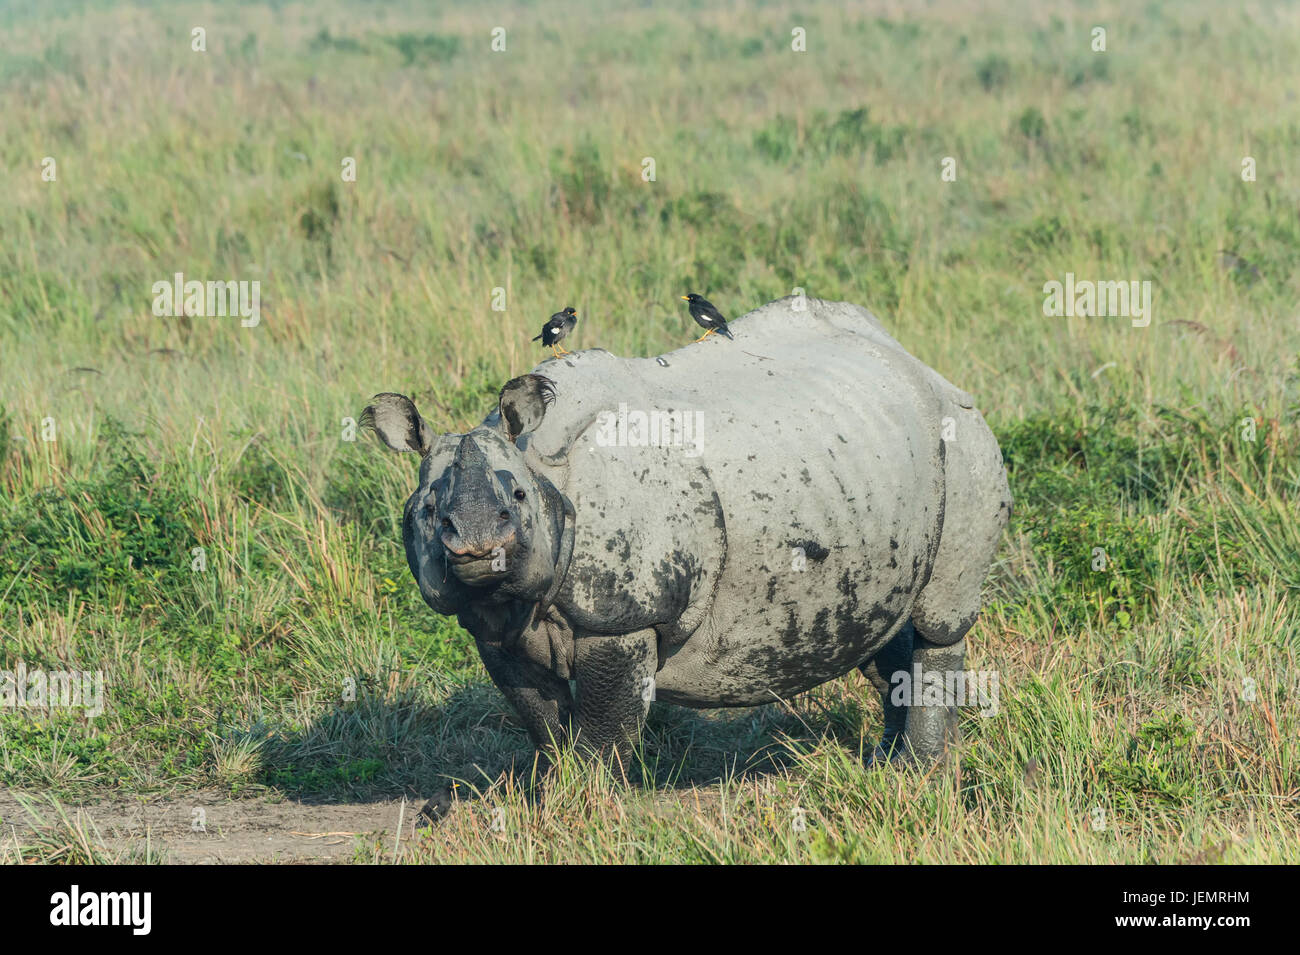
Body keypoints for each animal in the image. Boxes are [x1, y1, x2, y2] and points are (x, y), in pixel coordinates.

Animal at [362, 298, 1011, 776]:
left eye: (517, 501)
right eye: (428, 512)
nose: (476, 548)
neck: (545, 467)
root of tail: (915, 359)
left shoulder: (624, 616)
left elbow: (603, 736)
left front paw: (590, 809)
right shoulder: (492, 623)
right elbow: (542, 725)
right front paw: (550, 799)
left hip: (963, 443)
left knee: (938, 617)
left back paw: (920, 773)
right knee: (883, 625)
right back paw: (887, 764)